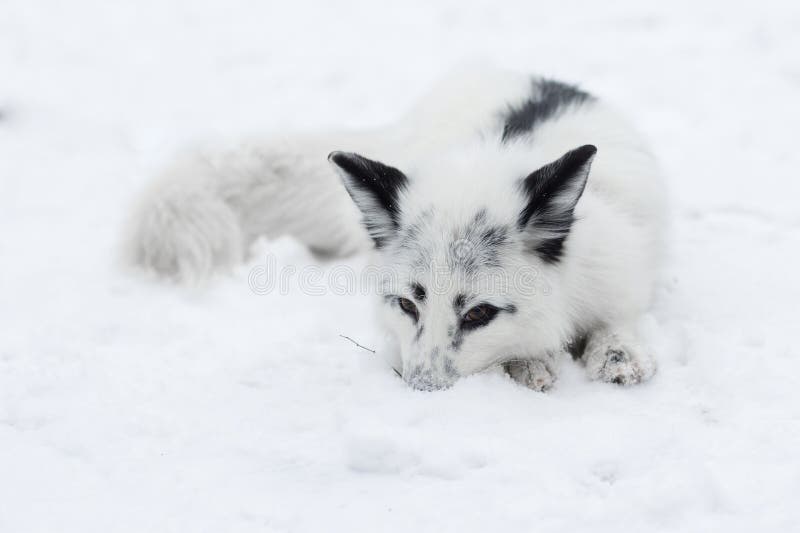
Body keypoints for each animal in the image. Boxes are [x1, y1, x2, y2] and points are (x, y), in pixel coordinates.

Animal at [125, 66, 667, 391]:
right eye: (407, 305)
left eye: (478, 314)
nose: (421, 390)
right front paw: (529, 363)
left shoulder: (622, 272)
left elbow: (618, 319)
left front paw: (615, 353)